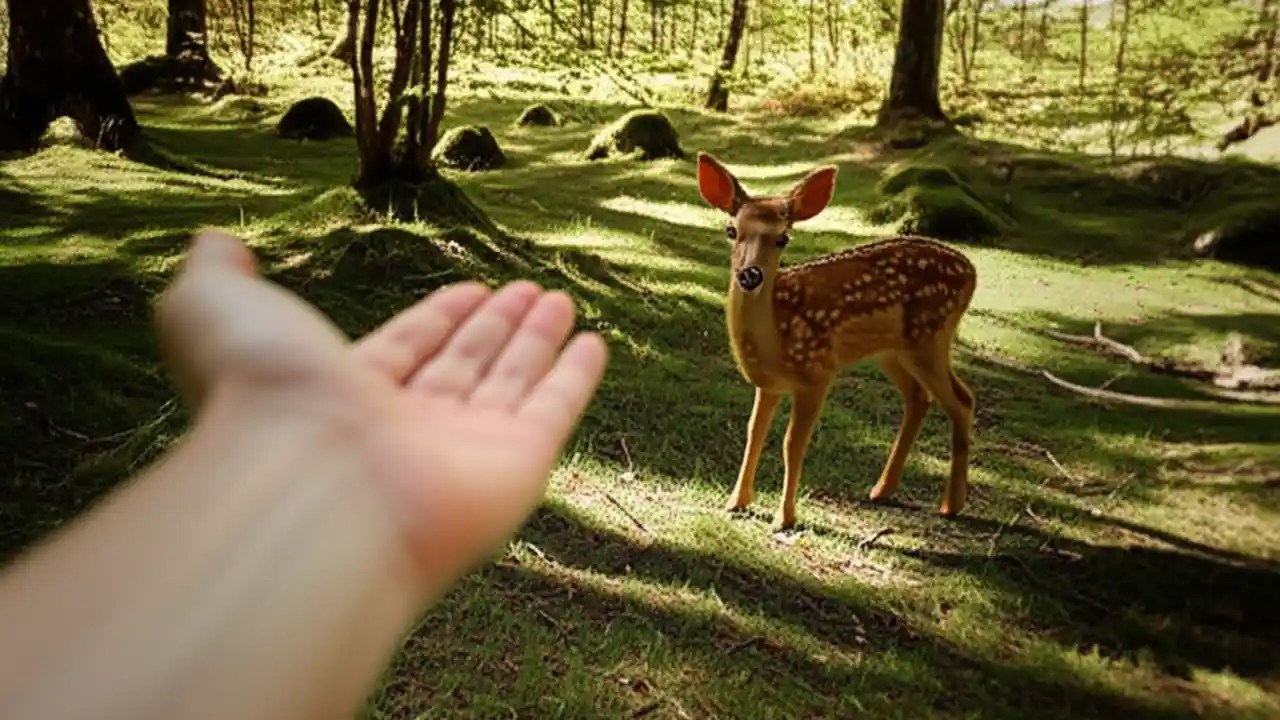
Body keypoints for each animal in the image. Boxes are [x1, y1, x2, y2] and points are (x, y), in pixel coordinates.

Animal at [695, 152, 978, 531]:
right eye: (731, 231)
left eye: (783, 238)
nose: (750, 275)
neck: (778, 338)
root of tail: (972, 271)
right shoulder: (768, 383)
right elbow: (754, 431)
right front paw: (736, 502)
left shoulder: (817, 373)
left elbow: (792, 443)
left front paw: (784, 518)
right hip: (893, 351)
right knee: (919, 397)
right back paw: (881, 490)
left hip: (930, 338)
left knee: (962, 400)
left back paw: (951, 505)